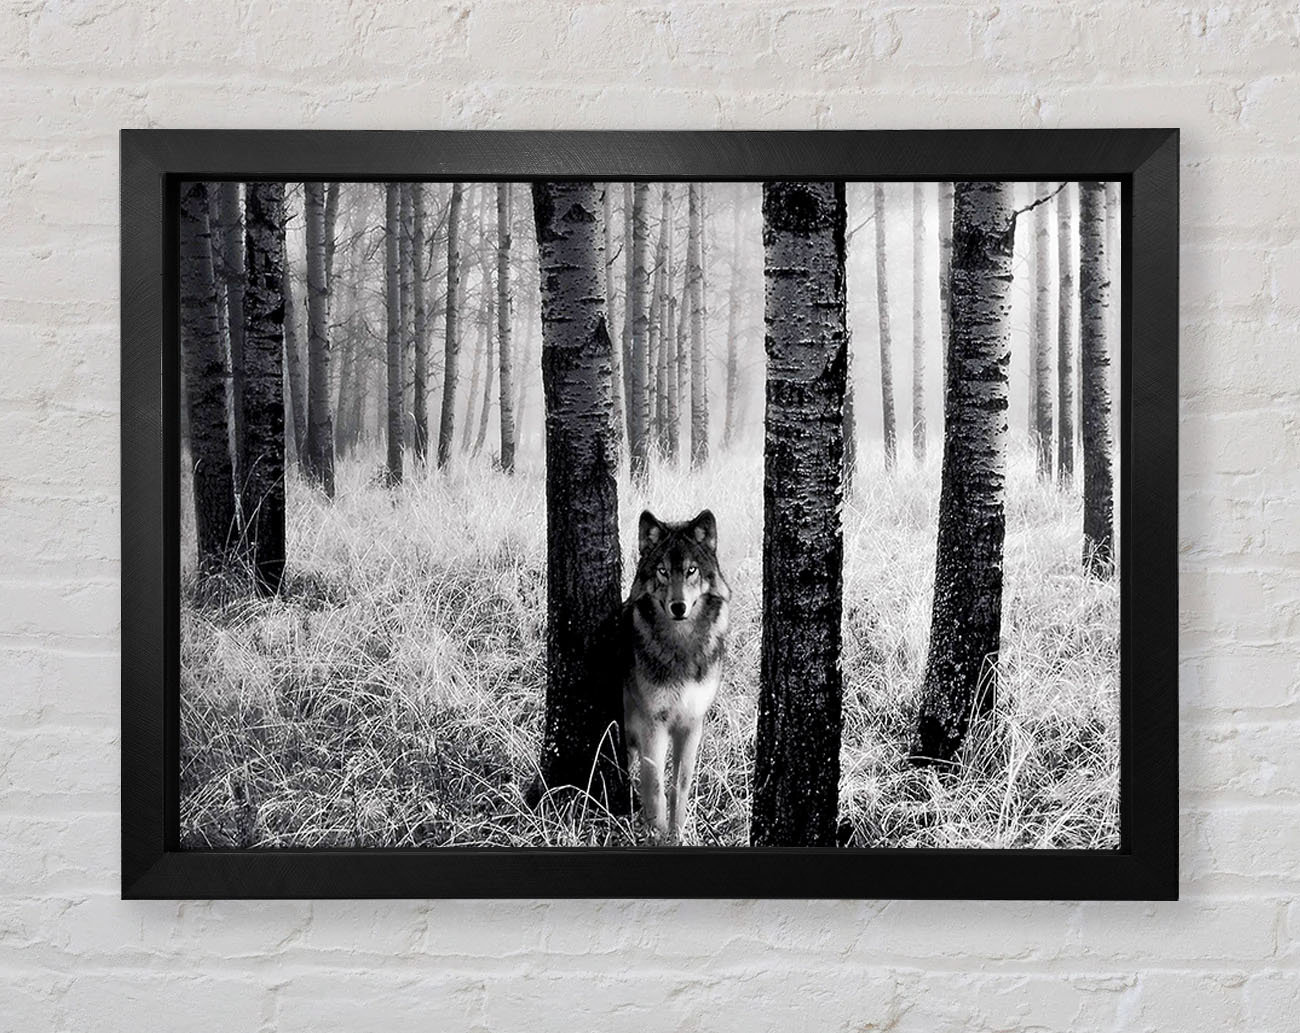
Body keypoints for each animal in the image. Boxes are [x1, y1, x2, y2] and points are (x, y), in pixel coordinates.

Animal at [621, 508, 730, 843]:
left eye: (691, 570)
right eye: (663, 571)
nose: (678, 606)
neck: (681, 647)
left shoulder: (692, 723)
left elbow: (679, 786)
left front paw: (677, 834)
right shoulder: (652, 724)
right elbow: (655, 785)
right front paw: (655, 834)